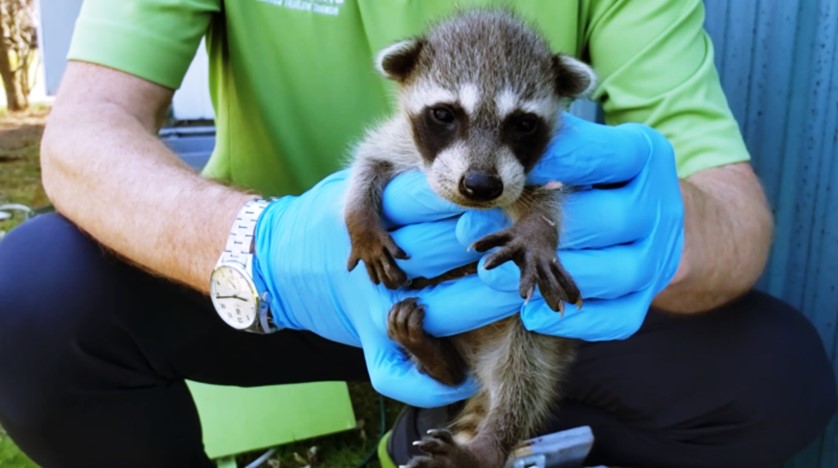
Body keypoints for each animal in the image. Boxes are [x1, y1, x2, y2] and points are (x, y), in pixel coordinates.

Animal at [344, 10, 595, 468]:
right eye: (444, 114)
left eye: (523, 124)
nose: (480, 185)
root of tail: (476, 361)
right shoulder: (397, 140)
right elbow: (365, 163)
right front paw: (361, 221)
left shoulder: (541, 171)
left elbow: (550, 200)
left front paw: (537, 232)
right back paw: (438, 359)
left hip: (531, 336)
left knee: (523, 376)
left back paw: (486, 445)